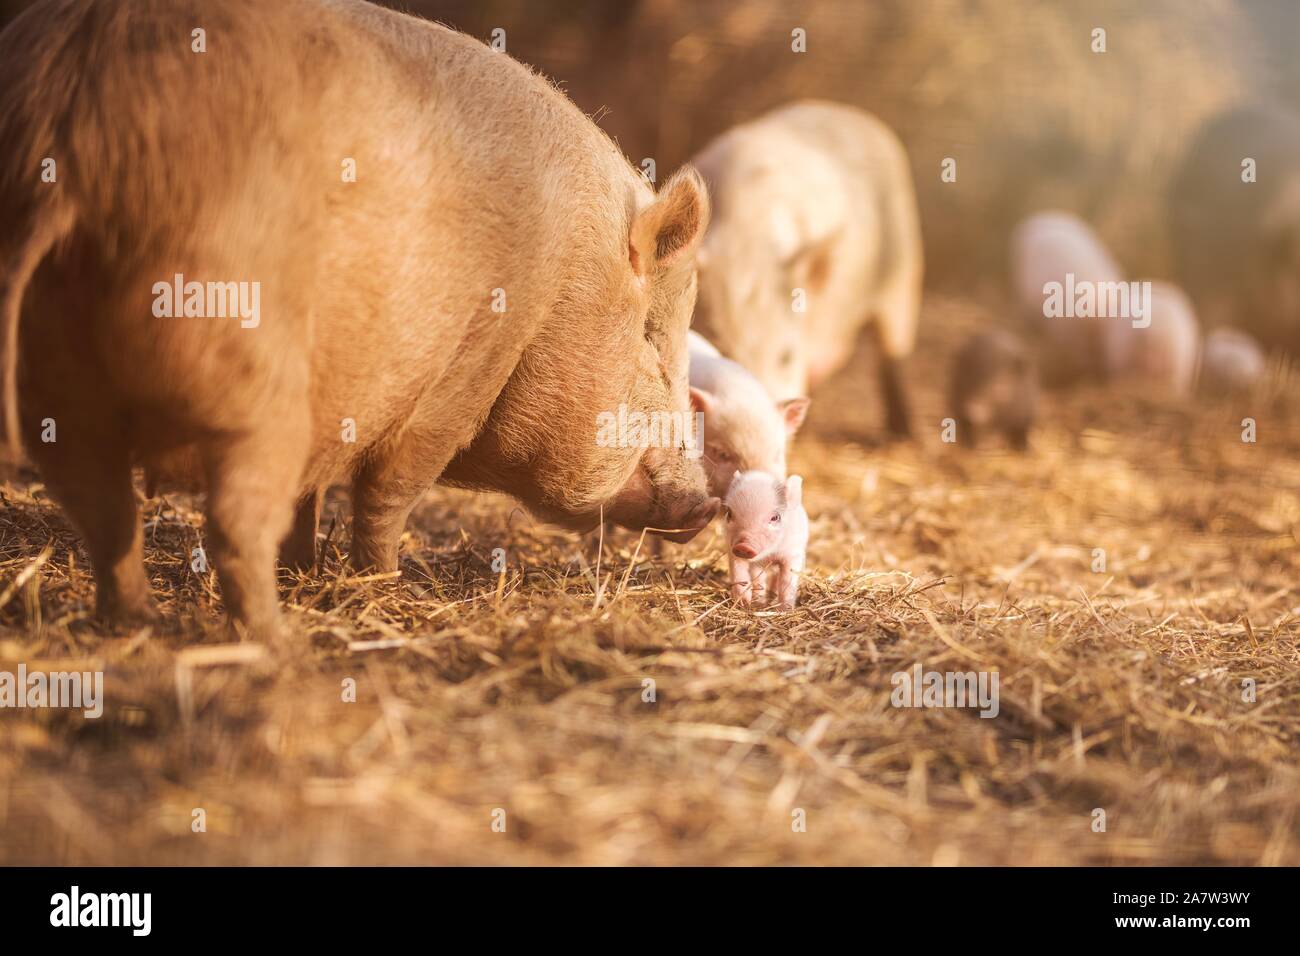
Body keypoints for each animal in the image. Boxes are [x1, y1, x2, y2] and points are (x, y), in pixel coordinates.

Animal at [0, 0, 717, 638]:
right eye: (653, 344)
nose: (706, 502)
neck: (562, 284)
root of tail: (70, 126)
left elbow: (309, 494)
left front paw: (304, 569)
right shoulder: (464, 371)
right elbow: (390, 488)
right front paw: (384, 583)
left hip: (55, 381)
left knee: (101, 507)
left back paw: (137, 622)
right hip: (245, 367)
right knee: (230, 520)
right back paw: (278, 646)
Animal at [722, 470, 808, 610]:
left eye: (775, 517)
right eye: (729, 513)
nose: (743, 546)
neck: (770, 555)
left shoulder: (793, 554)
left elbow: (787, 581)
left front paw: (785, 609)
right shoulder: (732, 548)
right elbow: (738, 572)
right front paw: (743, 604)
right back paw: (759, 602)